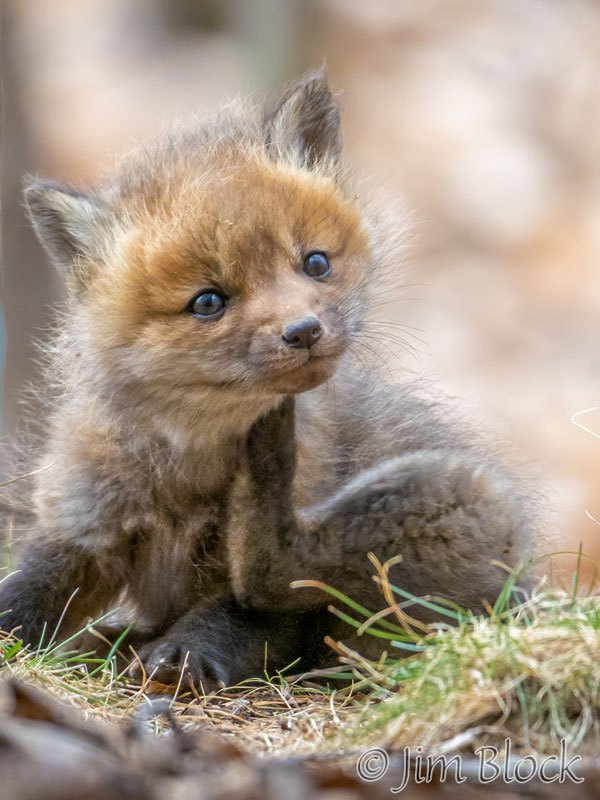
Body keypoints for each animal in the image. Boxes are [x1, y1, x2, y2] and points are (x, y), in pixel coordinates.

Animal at [0, 71, 532, 690]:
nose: (304, 330)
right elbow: (27, 589)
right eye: (208, 301)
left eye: (316, 263)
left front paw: (182, 655)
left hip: (457, 493)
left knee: (284, 570)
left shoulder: (272, 599)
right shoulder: (82, 520)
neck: (187, 470)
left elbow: (234, 614)